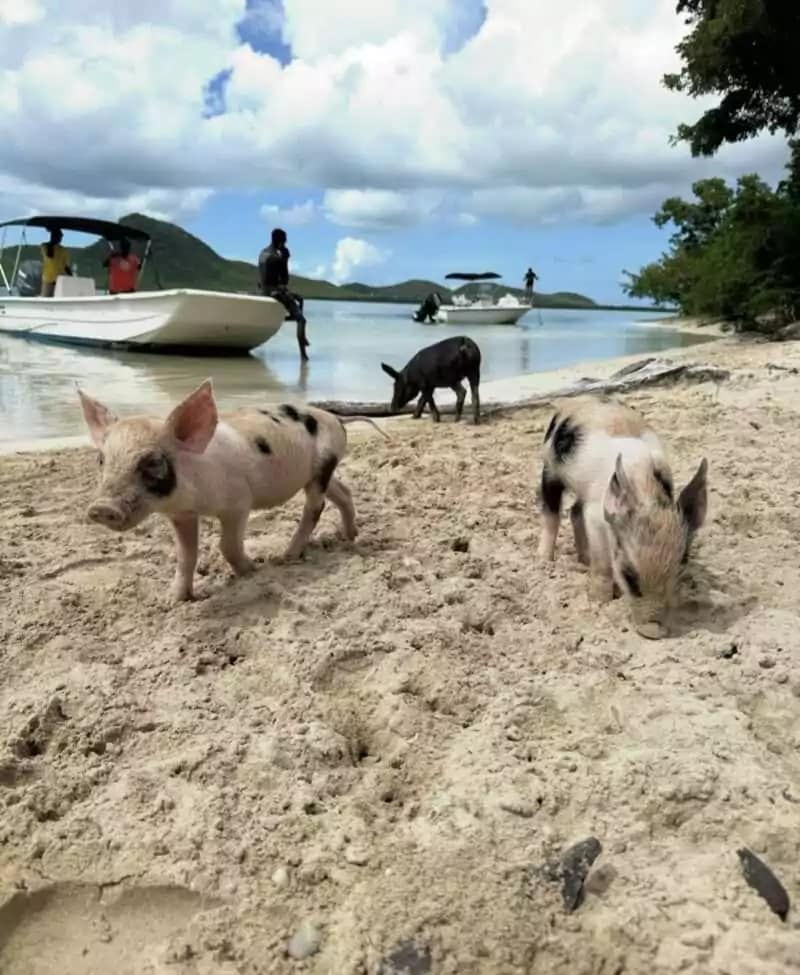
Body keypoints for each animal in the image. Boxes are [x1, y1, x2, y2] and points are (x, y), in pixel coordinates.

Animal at [77, 379, 386, 602]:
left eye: (152, 462)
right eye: (101, 459)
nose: (101, 508)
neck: (194, 497)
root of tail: (337, 420)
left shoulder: (239, 502)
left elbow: (226, 545)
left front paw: (253, 570)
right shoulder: (181, 515)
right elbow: (186, 555)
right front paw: (173, 600)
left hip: (323, 465)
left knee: (316, 506)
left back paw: (285, 557)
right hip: (319, 472)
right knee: (343, 492)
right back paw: (350, 537)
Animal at [537, 394, 708, 639]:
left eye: (680, 569)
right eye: (630, 577)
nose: (654, 632)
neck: (644, 487)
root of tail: (576, 402)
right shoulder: (596, 517)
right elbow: (602, 565)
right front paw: (599, 600)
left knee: (574, 511)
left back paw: (583, 561)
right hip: (550, 468)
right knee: (551, 513)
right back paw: (544, 561)